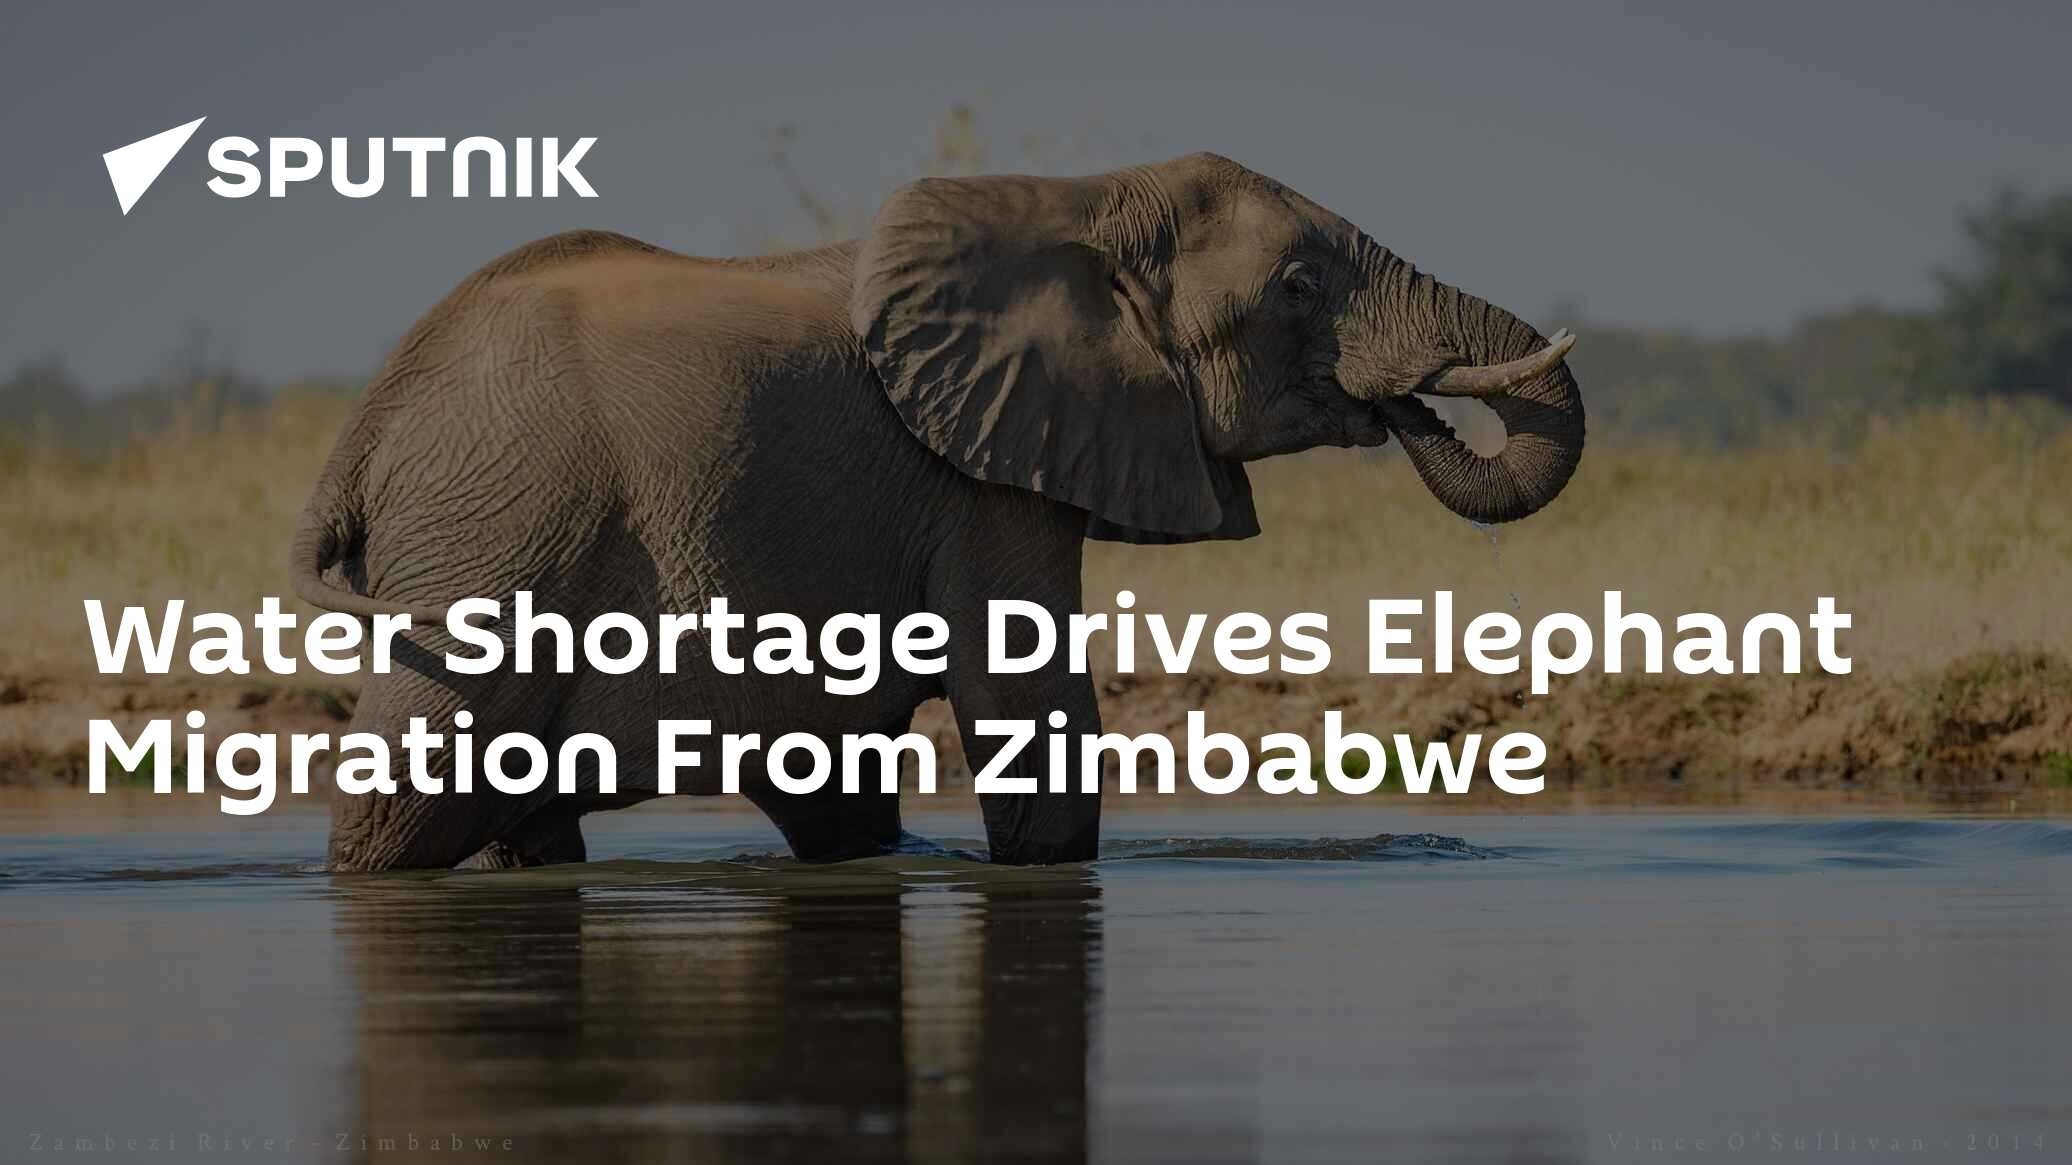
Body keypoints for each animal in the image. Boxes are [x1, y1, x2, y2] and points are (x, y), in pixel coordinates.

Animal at [290, 152, 1583, 872]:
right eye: (1300, 286)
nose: (1405, 406)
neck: (1084, 202)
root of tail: (367, 426)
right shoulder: (985, 472)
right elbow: (1026, 697)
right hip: (496, 543)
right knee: (410, 791)